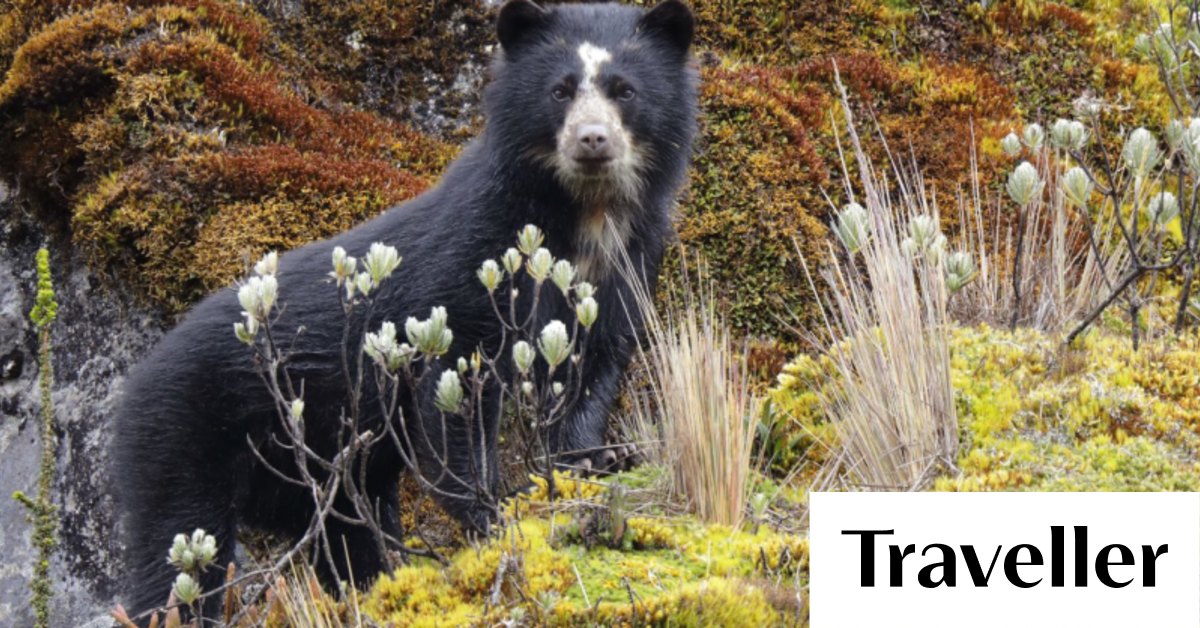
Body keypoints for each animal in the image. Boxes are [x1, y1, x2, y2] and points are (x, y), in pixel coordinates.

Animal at [111, 0, 698, 621]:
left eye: (624, 90)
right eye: (560, 90)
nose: (591, 140)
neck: (587, 215)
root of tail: (134, 384)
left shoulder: (625, 265)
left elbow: (593, 361)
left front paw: (592, 461)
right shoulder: (475, 252)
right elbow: (456, 382)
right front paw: (493, 505)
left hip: (320, 471)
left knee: (345, 534)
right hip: (184, 435)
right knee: (176, 549)